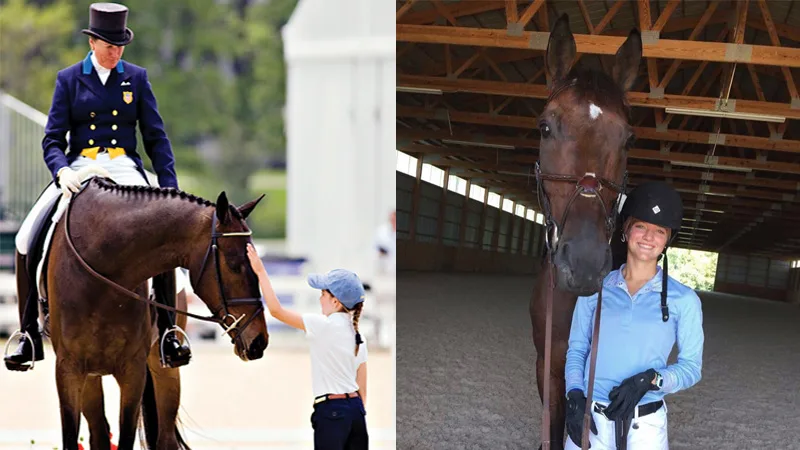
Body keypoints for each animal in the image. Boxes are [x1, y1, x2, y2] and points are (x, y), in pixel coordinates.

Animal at [26, 176, 269, 450]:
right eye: (234, 264)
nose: (259, 342)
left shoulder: (133, 370)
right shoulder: (69, 368)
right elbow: (71, 437)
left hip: (164, 369)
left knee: (165, 438)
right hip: (90, 375)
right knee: (99, 432)